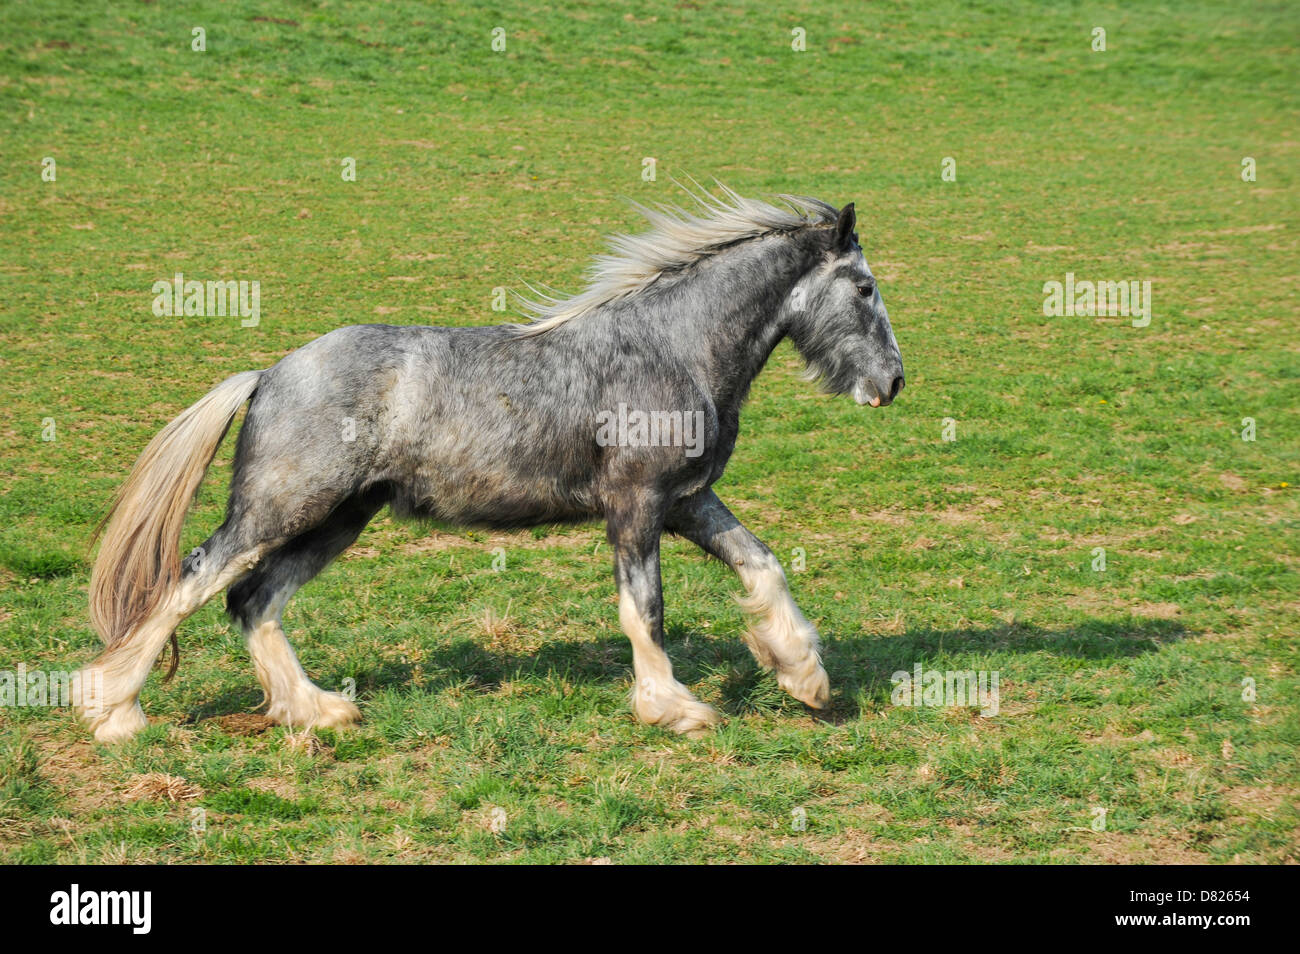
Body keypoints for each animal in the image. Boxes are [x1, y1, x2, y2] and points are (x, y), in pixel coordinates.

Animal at [76, 185, 905, 743]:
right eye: (865, 288)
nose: (894, 382)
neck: (670, 347)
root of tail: (270, 373)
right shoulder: (636, 503)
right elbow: (645, 607)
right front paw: (674, 708)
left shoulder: (686, 501)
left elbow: (762, 564)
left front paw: (803, 674)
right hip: (281, 508)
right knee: (192, 580)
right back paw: (110, 709)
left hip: (339, 518)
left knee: (254, 601)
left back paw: (319, 710)